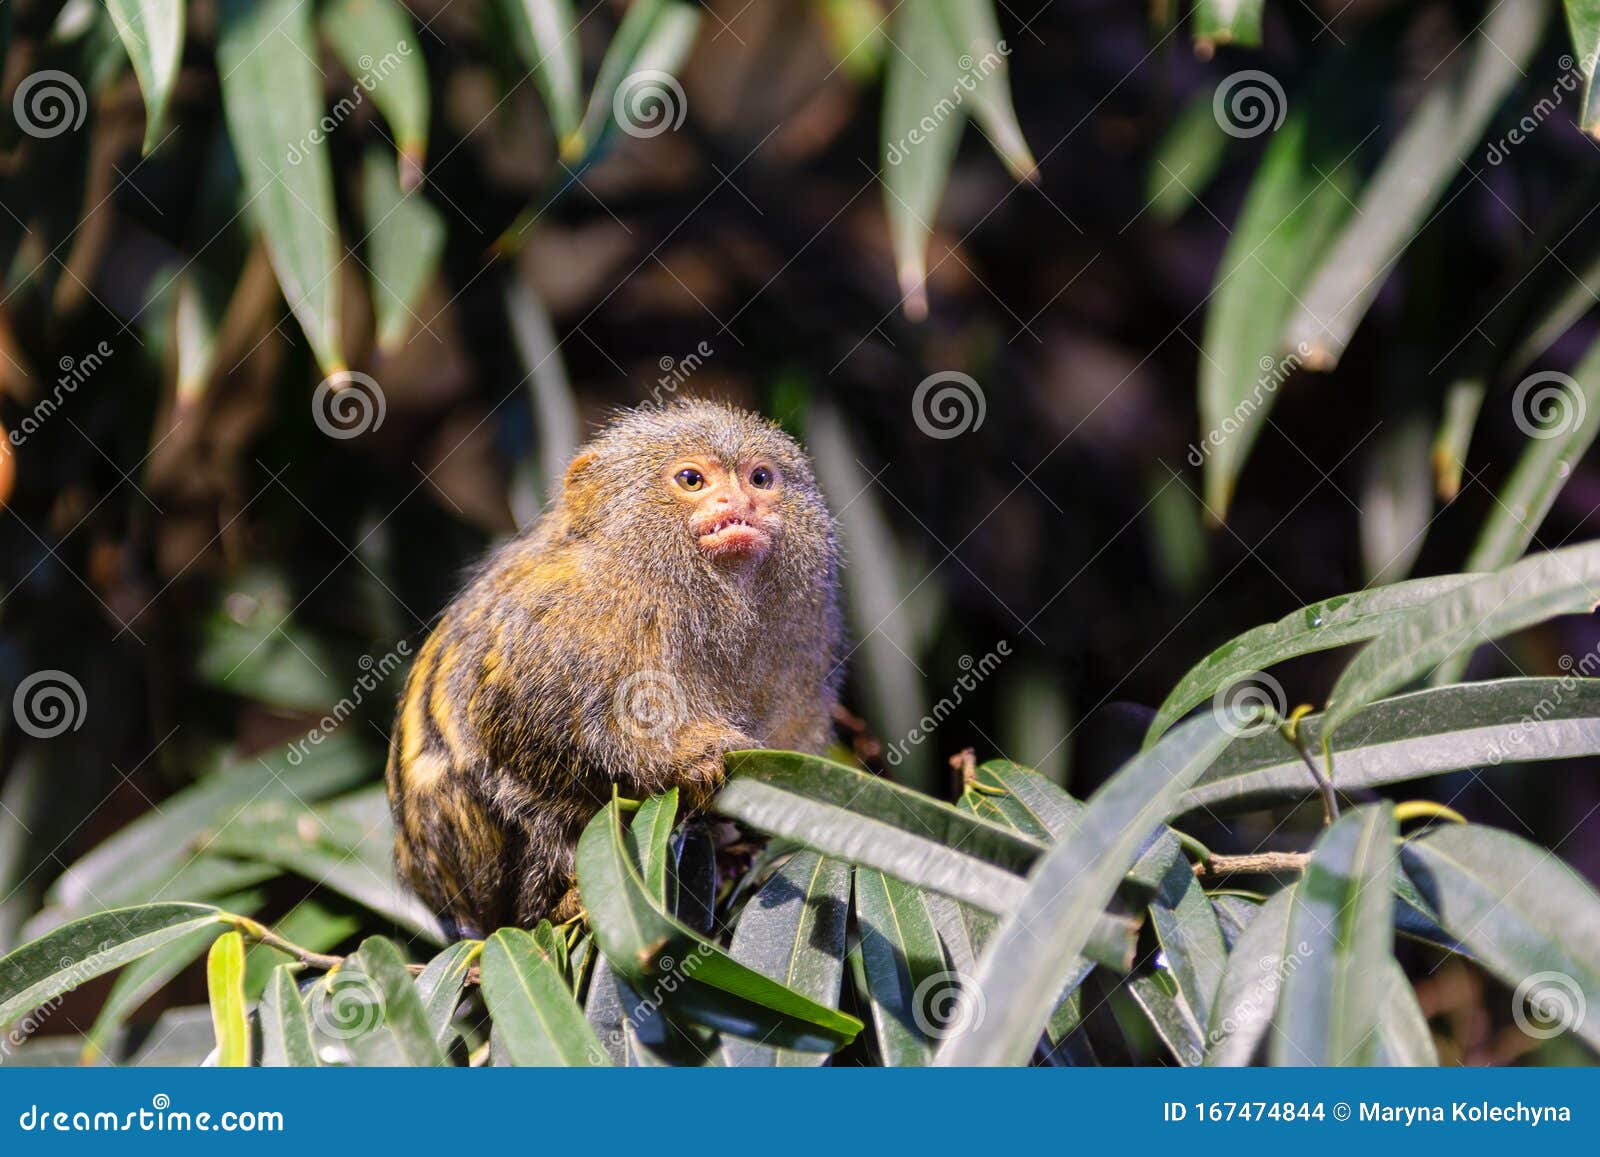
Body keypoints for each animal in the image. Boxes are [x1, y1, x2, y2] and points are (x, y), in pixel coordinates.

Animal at [385, 399, 844, 938]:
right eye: (692, 479)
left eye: (760, 478)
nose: (740, 504)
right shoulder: (556, 624)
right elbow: (525, 728)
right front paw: (688, 760)